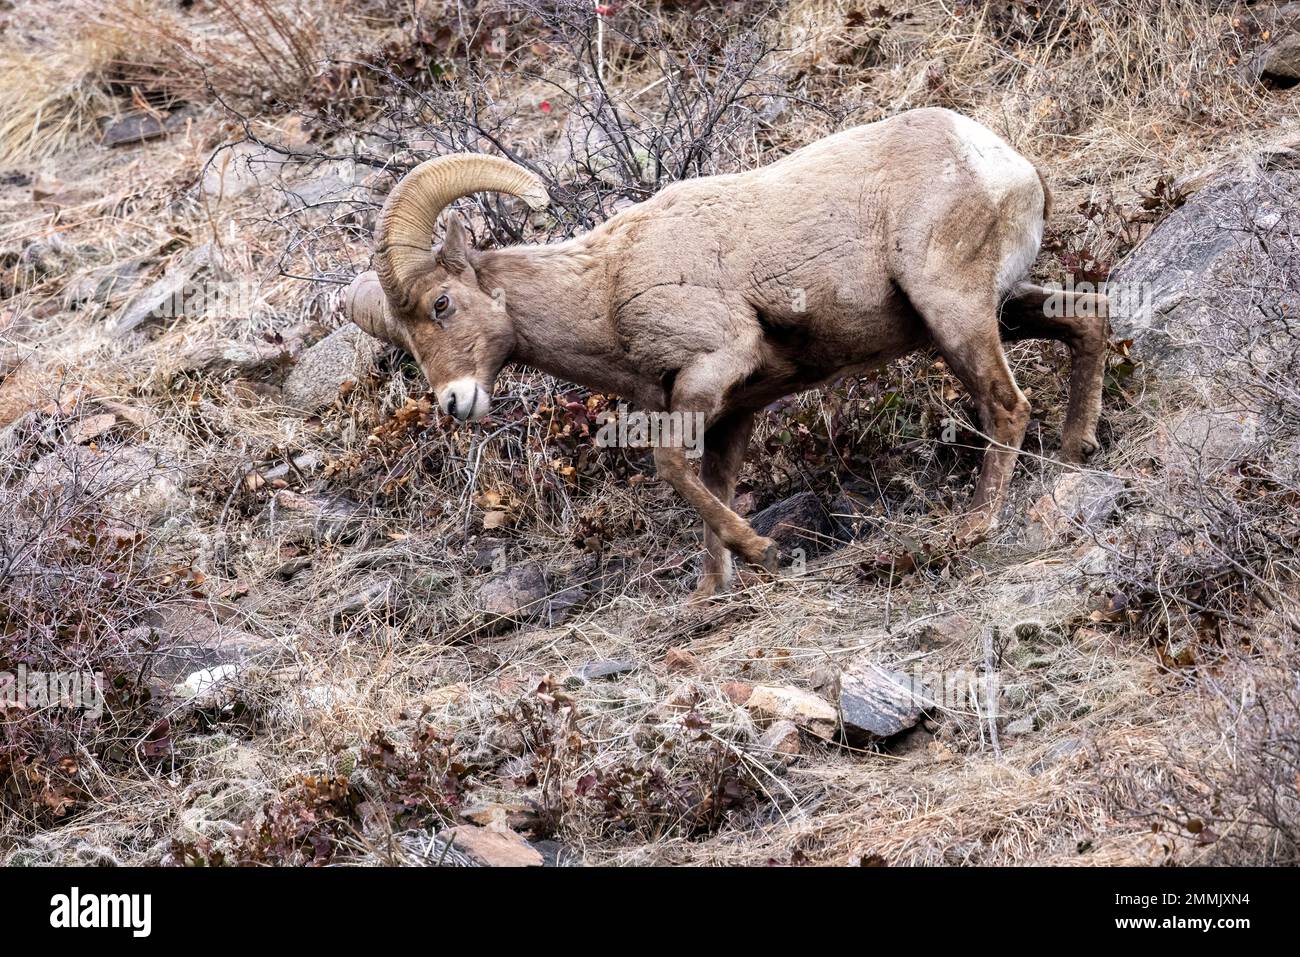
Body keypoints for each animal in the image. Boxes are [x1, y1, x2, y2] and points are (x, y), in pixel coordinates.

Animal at [345, 107, 1108, 598]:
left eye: (441, 305)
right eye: (408, 337)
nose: (455, 402)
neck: (604, 287)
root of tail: (1002, 162)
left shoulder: (713, 368)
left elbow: (671, 468)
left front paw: (766, 552)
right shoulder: (736, 410)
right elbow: (711, 481)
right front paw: (712, 591)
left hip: (954, 311)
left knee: (1006, 404)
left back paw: (977, 523)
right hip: (995, 308)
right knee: (1086, 323)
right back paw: (1078, 448)